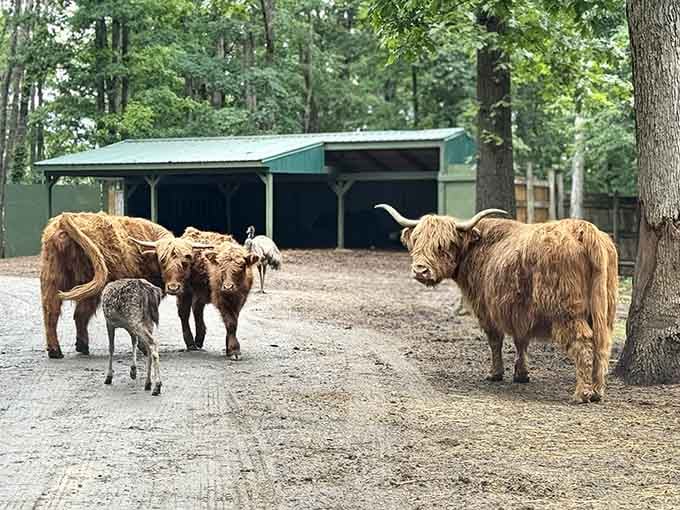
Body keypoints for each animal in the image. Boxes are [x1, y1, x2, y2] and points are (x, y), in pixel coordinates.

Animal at [40, 212, 212, 359]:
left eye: (186, 262)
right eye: (163, 261)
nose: (173, 288)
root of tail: (62, 224)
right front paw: (144, 346)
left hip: (52, 279)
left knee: (53, 312)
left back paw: (59, 350)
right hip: (88, 285)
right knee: (79, 314)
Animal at [177, 227, 258, 359]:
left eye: (241, 265)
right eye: (220, 265)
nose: (228, 287)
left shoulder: (240, 299)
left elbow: (234, 321)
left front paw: (229, 348)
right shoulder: (221, 299)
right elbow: (230, 322)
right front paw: (234, 350)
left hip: (200, 293)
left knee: (197, 310)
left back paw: (199, 339)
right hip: (184, 291)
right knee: (184, 314)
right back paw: (191, 344)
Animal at [375, 204, 618, 403]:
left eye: (443, 245)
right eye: (416, 242)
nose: (420, 270)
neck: (476, 247)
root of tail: (584, 229)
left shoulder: (486, 309)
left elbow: (495, 341)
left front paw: (495, 374)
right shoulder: (520, 311)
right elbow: (521, 341)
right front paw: (521, 374)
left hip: (566, 312)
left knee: (583, 342)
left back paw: (582, 394)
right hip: (604, 310)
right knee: (602, 345)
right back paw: (597, 391)